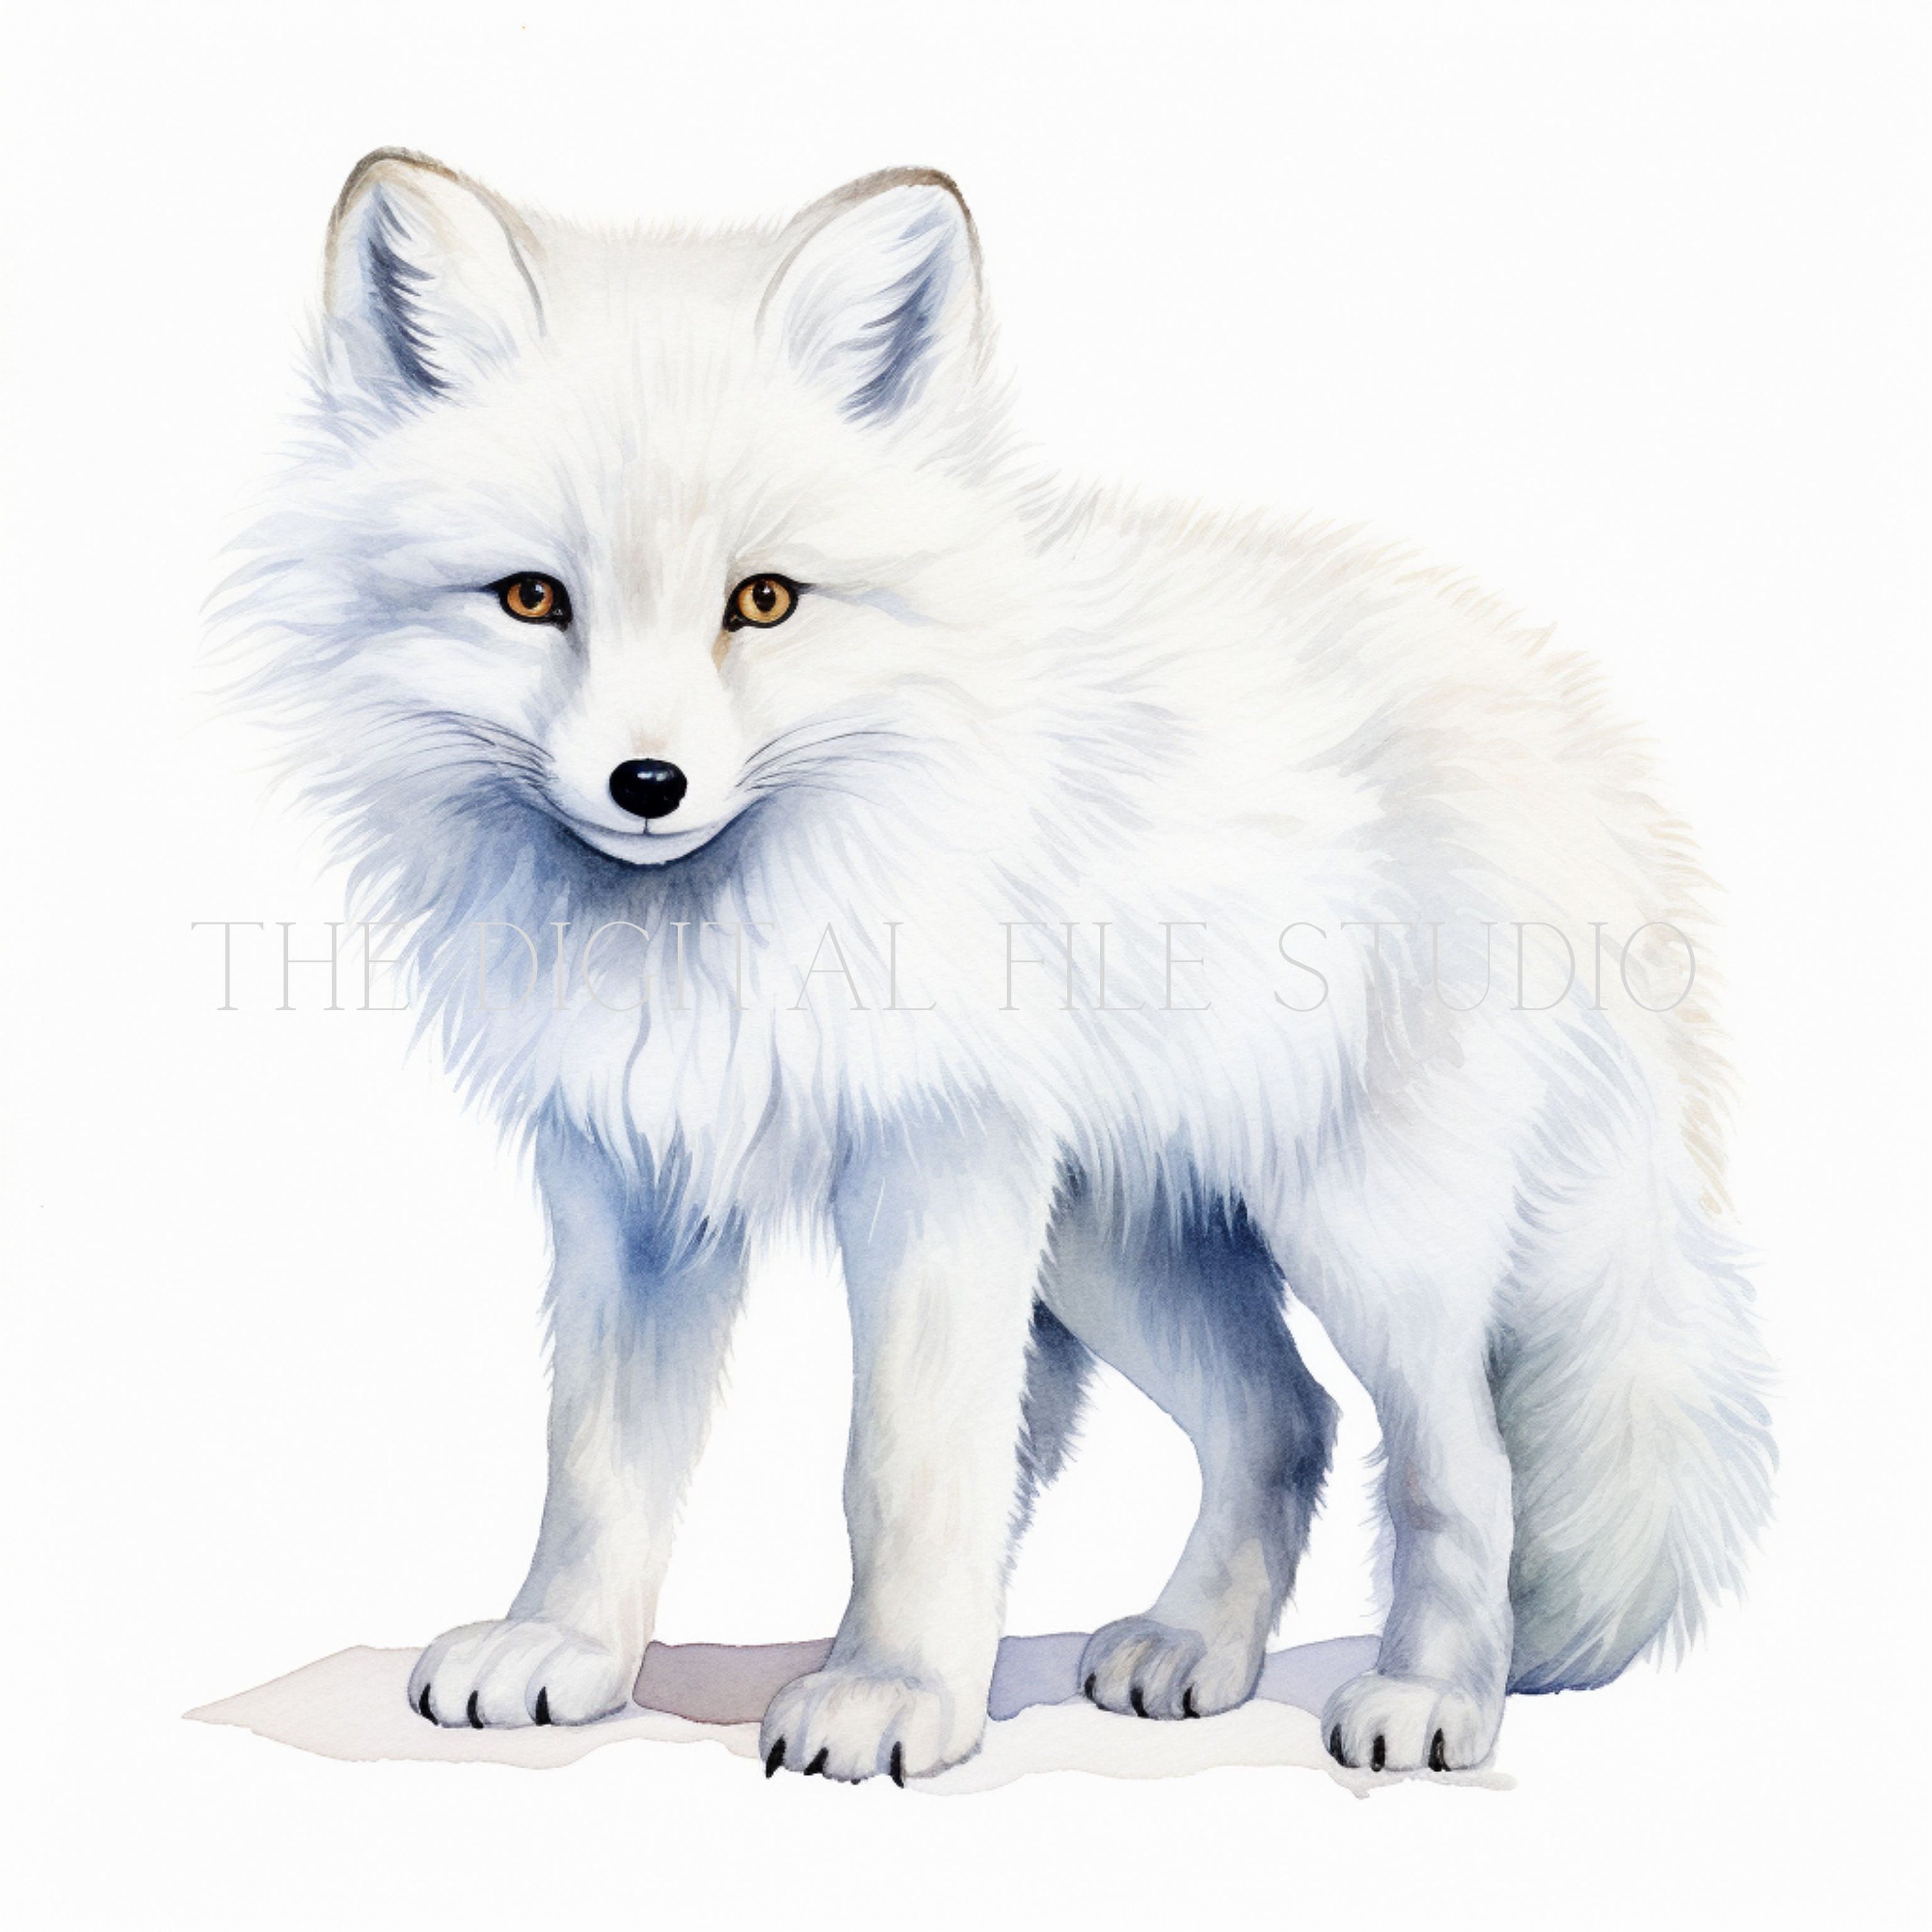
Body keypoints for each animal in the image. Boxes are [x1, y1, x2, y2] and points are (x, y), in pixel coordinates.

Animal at [228, 148, 1774, 1783]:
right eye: (533, 598)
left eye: (762, 601)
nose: (647, 785)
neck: (727, 924)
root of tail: (1575, 745)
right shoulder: (628, 1172)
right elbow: (599, 1464)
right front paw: (570, 1652)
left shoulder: (939, 1155)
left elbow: (906, 1466)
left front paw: (895, 1694)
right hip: (1120, 1241)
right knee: (1282, 1419)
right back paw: (1195, 1652)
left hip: (1362, 1235)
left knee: (1458, 1465)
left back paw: (1432, 1700)